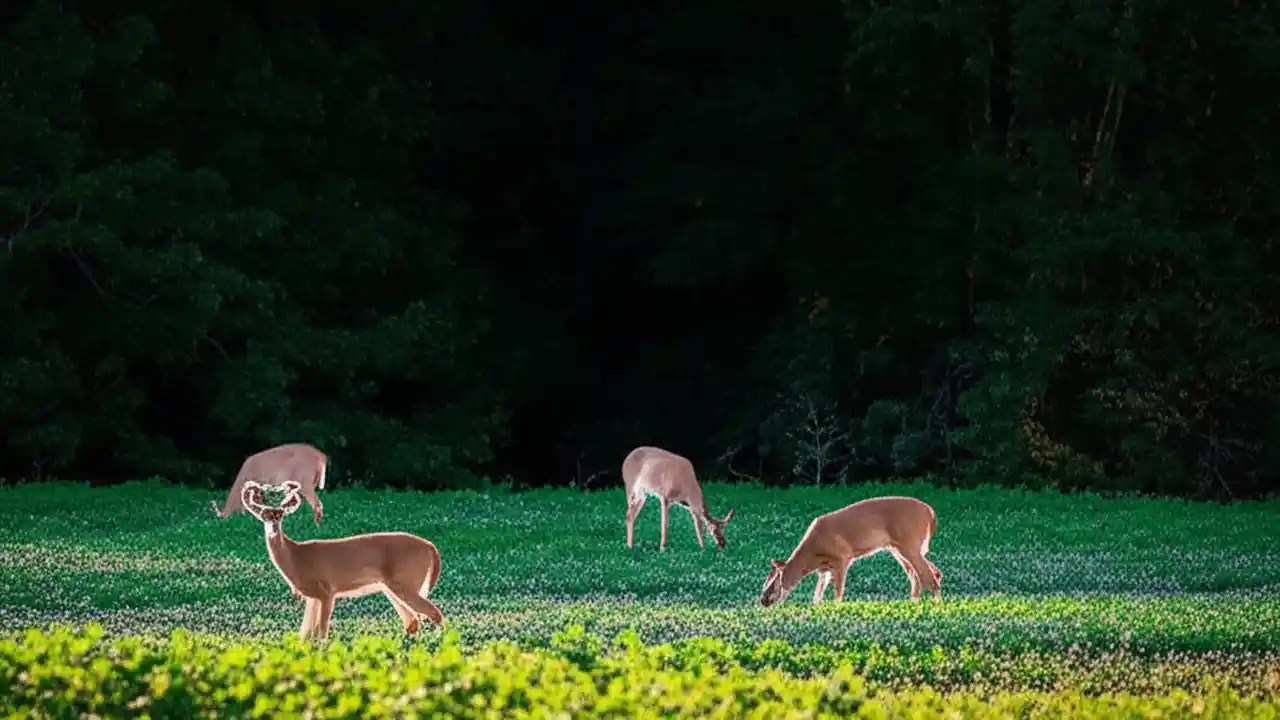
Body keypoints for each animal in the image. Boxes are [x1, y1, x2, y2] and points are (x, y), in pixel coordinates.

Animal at [239, 479, 445, 640]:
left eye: (280, 515)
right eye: (263, 515)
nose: (273, 528)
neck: (296, 557)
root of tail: (431, 547)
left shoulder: (327, 590)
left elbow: (321, 633)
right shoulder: (312, 596)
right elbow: (304, 635)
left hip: (407, 581)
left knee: (434, 613)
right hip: (392, 586)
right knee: (412, 621)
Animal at [759, 495, 942, 606]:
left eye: (772, 582)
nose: (763, 600)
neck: (812, 556)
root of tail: (931, 513)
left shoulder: (843, 556)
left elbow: (838, 591)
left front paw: (836, 608)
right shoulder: (824, 568)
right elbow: (818, 593)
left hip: (910, 543)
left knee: (928, 576)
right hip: (899, 548)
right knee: (925, 574)